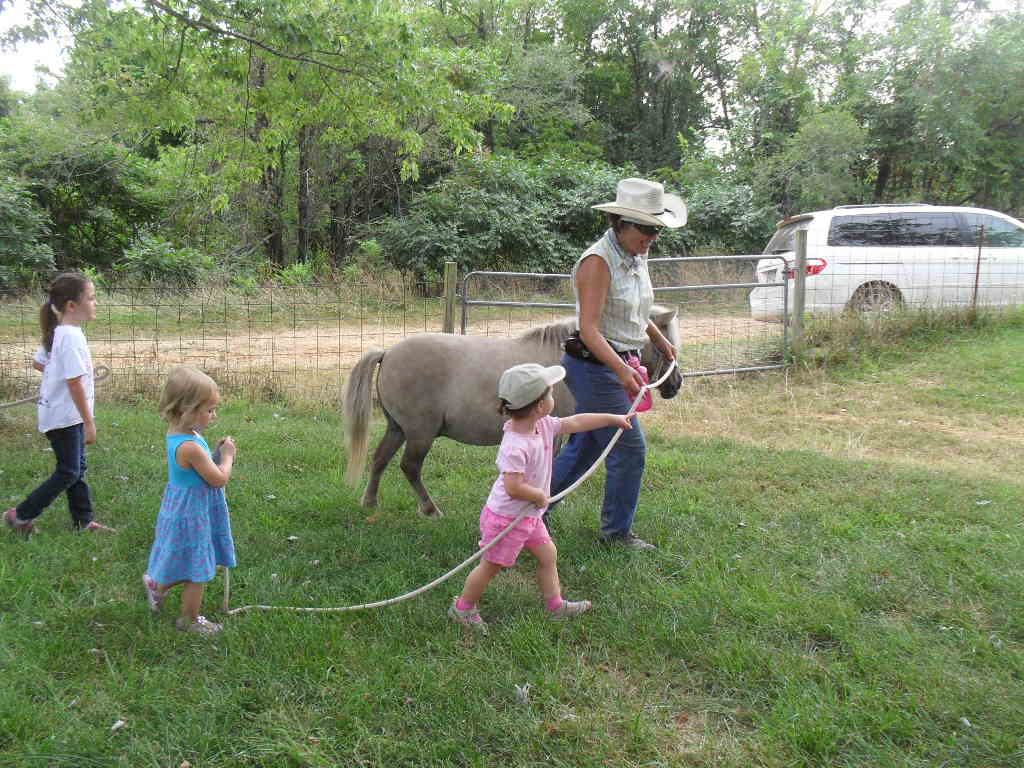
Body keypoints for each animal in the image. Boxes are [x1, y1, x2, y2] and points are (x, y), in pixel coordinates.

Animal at [343, 306, 682, 518]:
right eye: (667, 343)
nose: (675, 384)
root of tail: (388, 353)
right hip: (419, 433)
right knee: (409, 467)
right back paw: (430, 509)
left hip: (398, 428)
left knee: (380, 459)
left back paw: (369, 502)